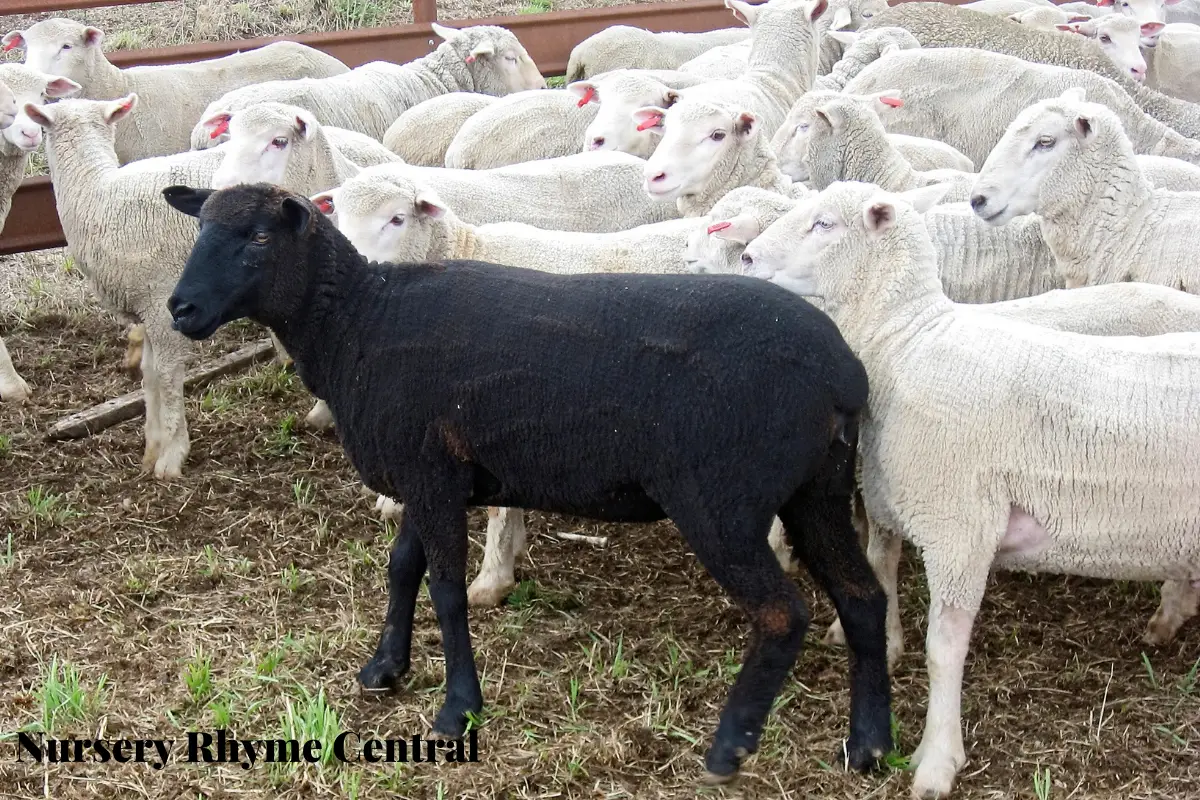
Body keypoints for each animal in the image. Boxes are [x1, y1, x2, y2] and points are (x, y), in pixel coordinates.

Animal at [163, 180, 894, 782]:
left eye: (260, 238)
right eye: (199, 229)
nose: (180, 309)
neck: (359, 323)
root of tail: (841, 370)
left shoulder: (431, 478)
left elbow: (445, 590)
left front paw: (457, 709)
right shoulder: (426, 473)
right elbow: (401, 569)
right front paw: (384, 668)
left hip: (721, 500)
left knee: (782, 613)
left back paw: (729, 746)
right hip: (818, 490)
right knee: (863, 597)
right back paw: (869, 744)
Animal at [739, 178, 1200, 799]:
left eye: (825, 224)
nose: (746, 258)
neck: (907, 344)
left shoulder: (960, 528)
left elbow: (944, 650)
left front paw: (937, 760)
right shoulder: (888, 500)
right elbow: (881, 569)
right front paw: (884, 648)